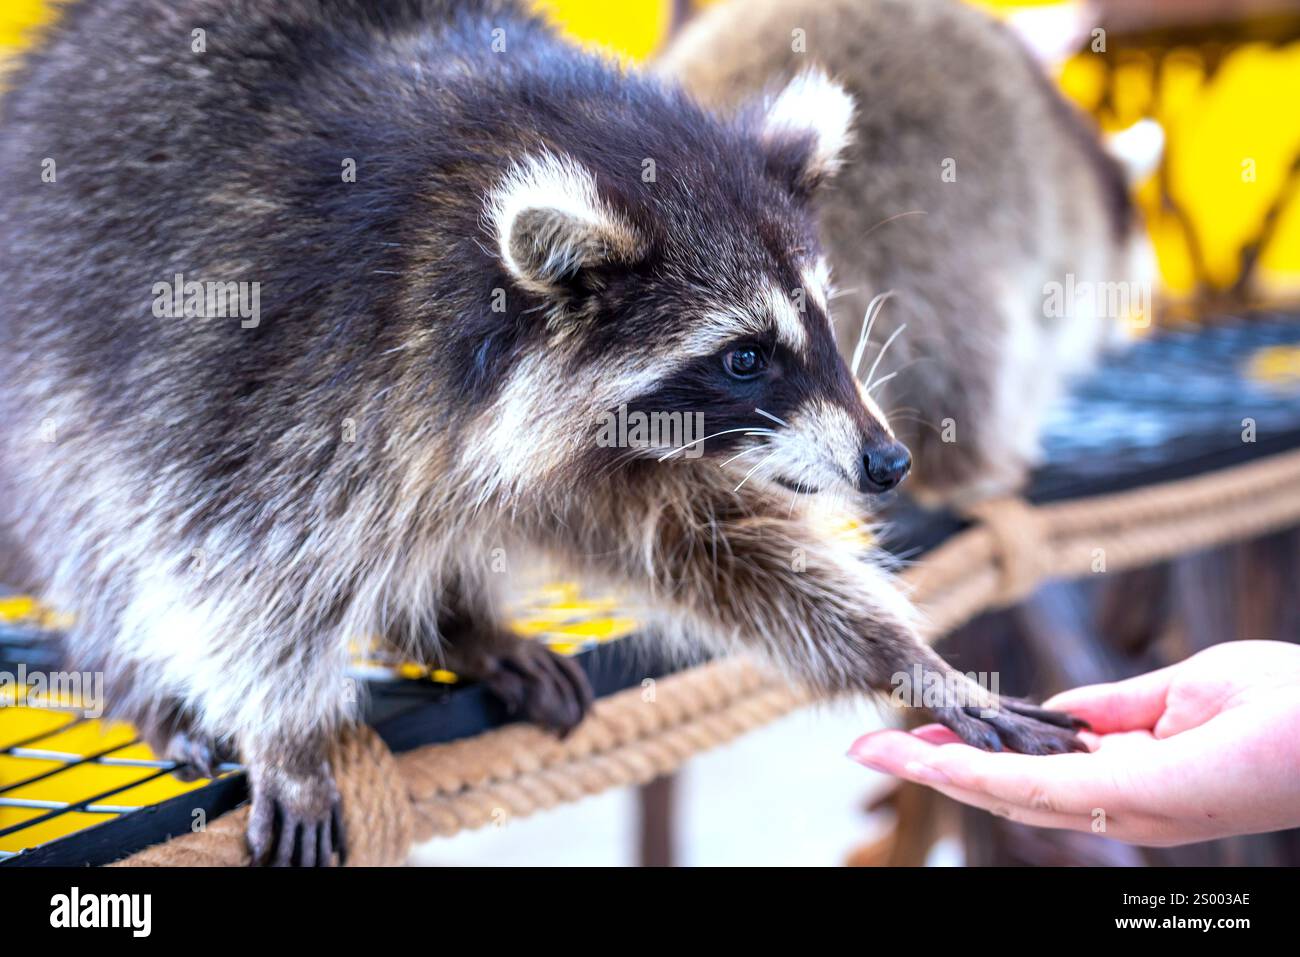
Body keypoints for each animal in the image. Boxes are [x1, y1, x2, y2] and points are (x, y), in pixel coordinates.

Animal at [0, 0, 1082, 866]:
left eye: (822, 317)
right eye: (745, 356)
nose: (886, 461)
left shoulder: (620, 440)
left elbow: (716, 543)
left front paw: (907, 658)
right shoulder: (291, 351)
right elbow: (230, 553)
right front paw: (288, 734)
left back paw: (455, 622)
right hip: (53, 347)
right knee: (91, 505)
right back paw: (143, 673)